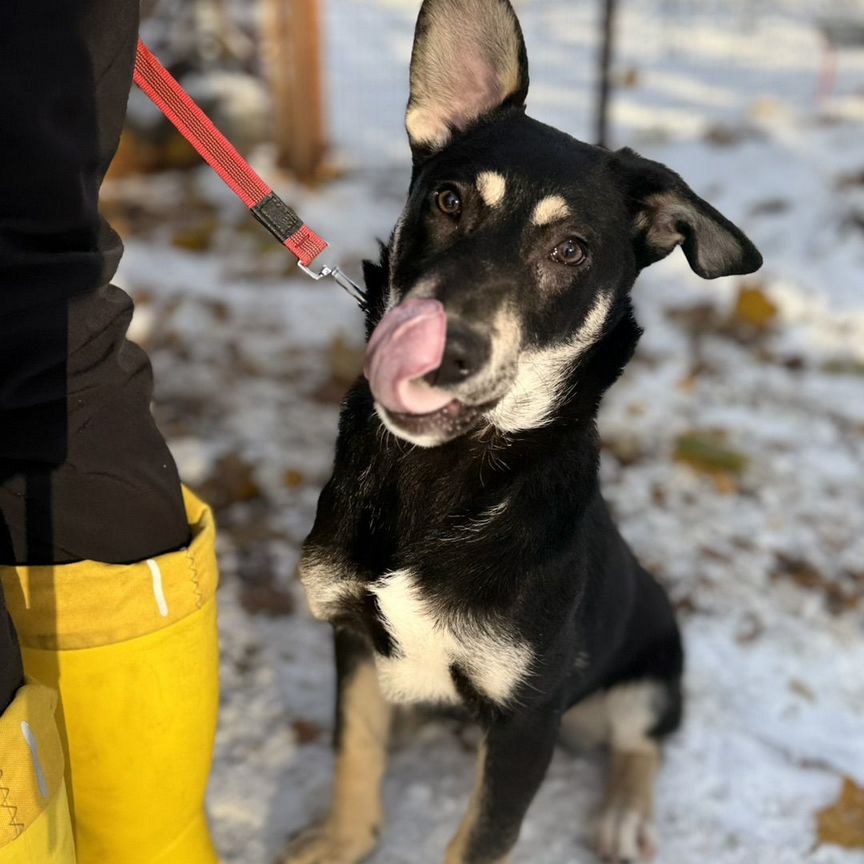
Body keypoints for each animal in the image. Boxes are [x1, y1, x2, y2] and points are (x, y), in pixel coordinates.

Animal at [286, 1, 764, 864]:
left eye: (570, 250)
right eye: (448, 201)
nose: (443, 351)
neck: (444, 482)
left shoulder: (526, 717)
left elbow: (483, 834)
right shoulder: (351, 639)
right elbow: (354, 754)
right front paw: (340, 840)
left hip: (653, 664)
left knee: (644, 740)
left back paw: (624, 815)